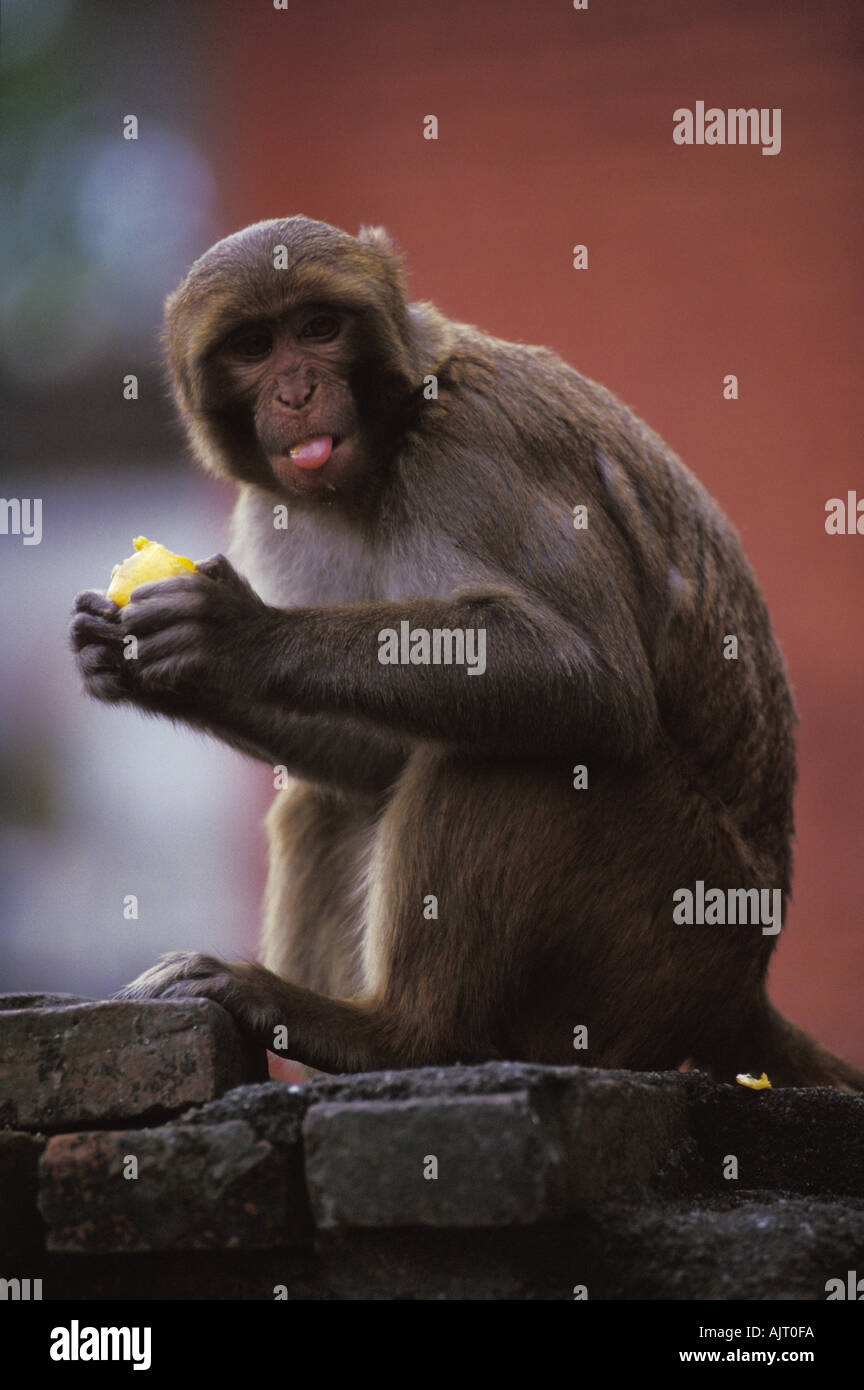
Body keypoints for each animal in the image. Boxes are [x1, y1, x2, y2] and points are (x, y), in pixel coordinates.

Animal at [71, 215, 863, 1090]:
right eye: (253, 344)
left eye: (318, 327)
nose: (295, 393)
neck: (391, 445)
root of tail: (741, 990)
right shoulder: (278, 511)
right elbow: (371, 760)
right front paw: (150, 672)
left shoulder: (477, 451)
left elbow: (591, 677)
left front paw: (237, 637)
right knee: (336, 794)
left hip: (672, 920)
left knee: (517, 752)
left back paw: (390, 1035)